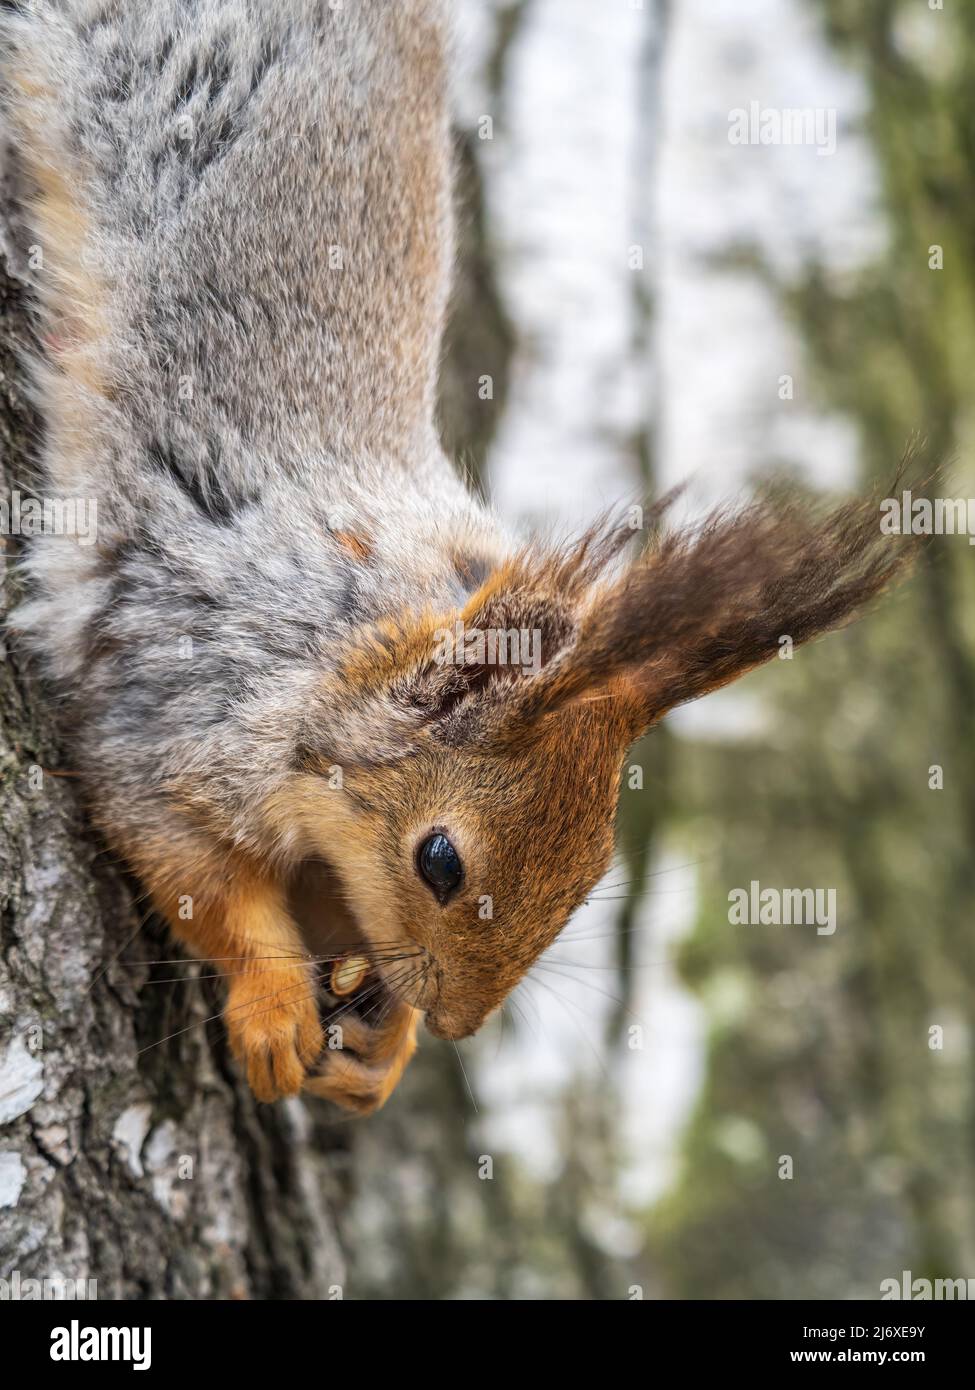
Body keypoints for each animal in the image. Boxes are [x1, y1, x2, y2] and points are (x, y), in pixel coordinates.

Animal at [1, 0, 910, 1113]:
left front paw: (380, 1047)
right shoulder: (171, 702)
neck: (359, 645)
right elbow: (193, 873)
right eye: (441, 861)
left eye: (594, 869)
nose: (459, 1024)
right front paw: (276, 1006)